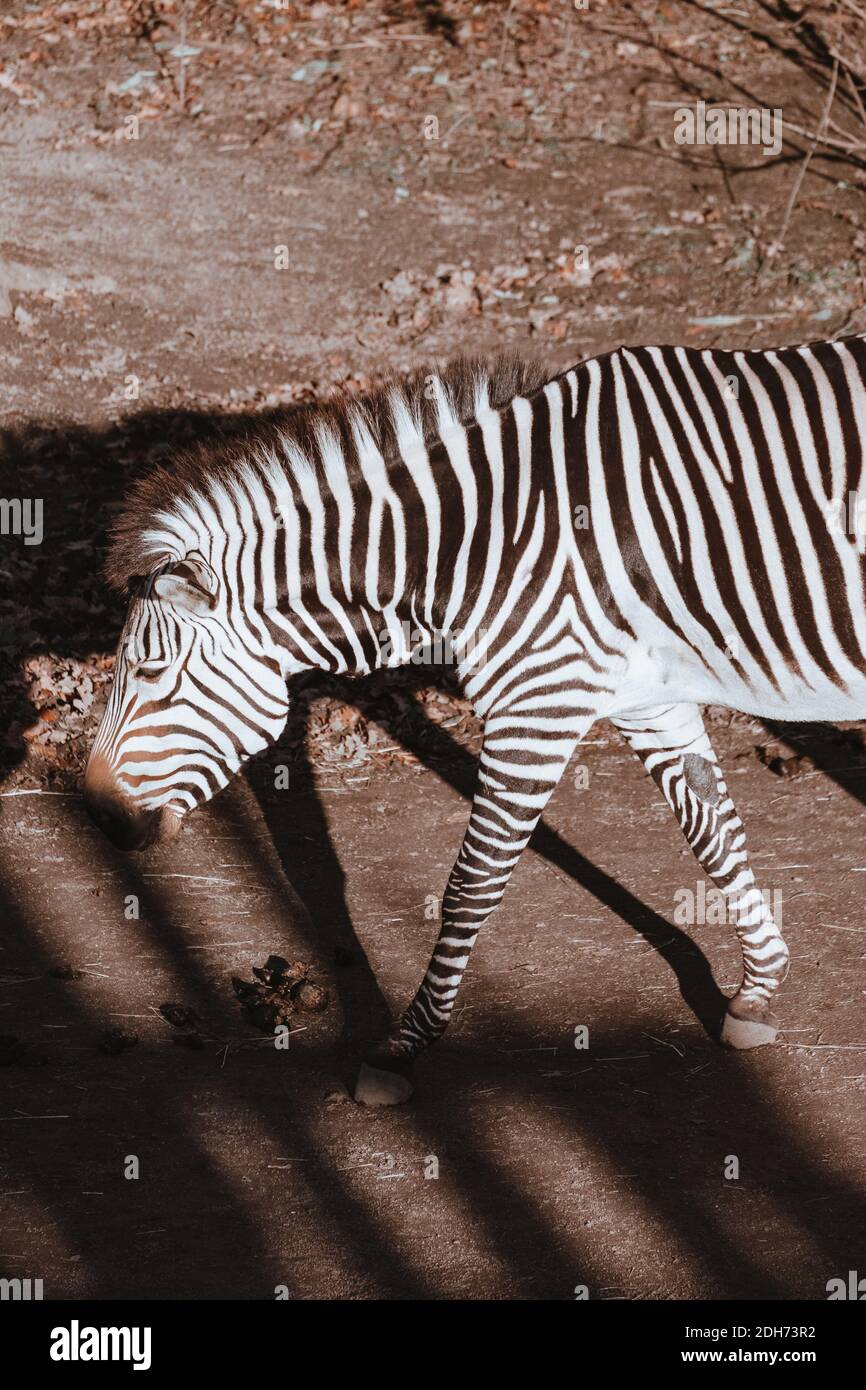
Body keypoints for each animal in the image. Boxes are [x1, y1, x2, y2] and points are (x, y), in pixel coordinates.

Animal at [84, 335, 866, 1104]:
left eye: (149, 673)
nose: (97, 815)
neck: (485, 544)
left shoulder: (540, 705)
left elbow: (471, 884)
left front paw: (402, 1048)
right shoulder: (648, 696)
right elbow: (712, 832)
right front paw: (757, 991)